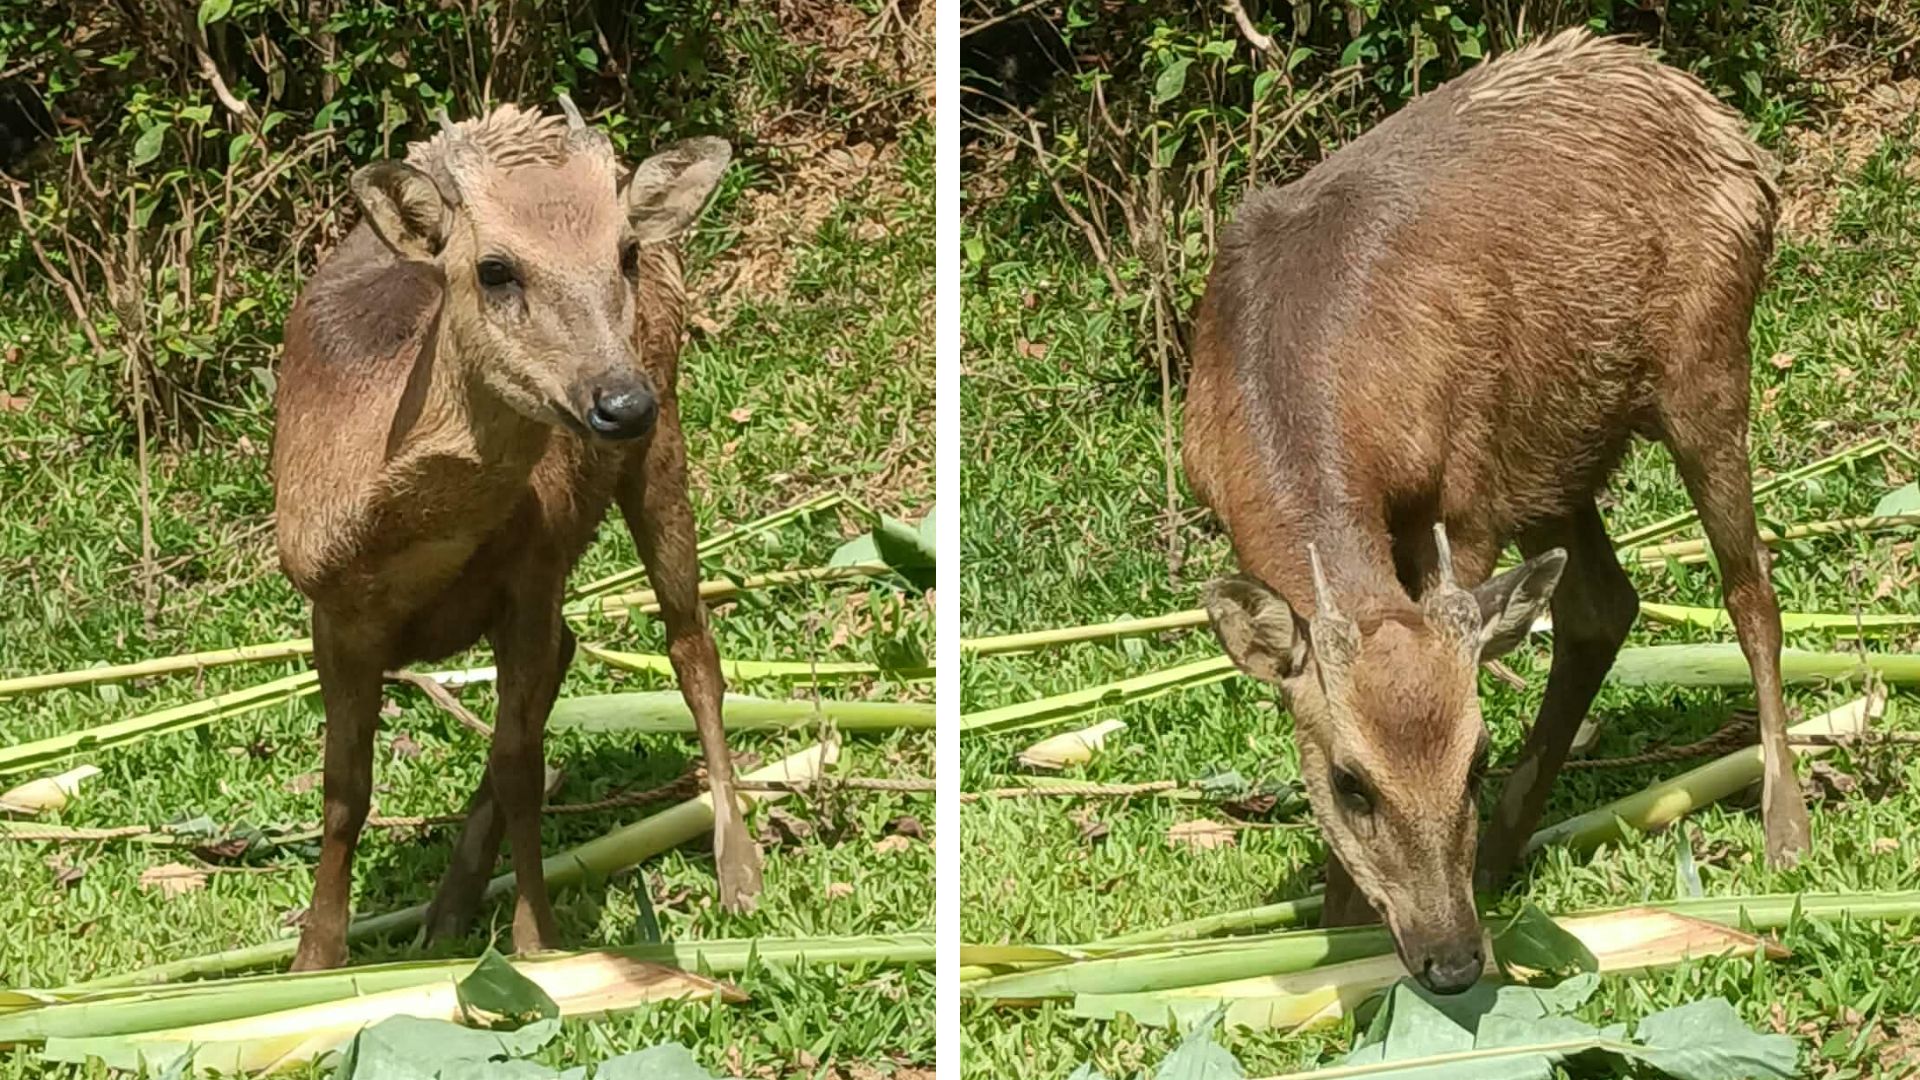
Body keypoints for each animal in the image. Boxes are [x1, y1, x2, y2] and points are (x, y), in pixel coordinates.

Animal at [271, 97, 761, 971]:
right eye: (495, 269)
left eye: (624, 253)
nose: (618, 401)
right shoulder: (331, 609)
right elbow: (344, 790)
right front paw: (312, 962)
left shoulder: (533, 570)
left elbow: (520, 765)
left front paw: (539, 943)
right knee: (570, 657)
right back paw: (449, 909)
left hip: (665, 431)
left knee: (689, 643)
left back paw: (738, 869)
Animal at [1183, 29, 1807, 995]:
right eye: (1349, 782)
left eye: (1475, 758)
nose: (1452, 958)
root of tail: (1725, 124)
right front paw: (1337, 926)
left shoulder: (1467, 491)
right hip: (1558, 449)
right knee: (1601, 605)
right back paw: (1509, 850)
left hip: (1705, 359)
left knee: (1750, 588)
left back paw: (1785, 830)